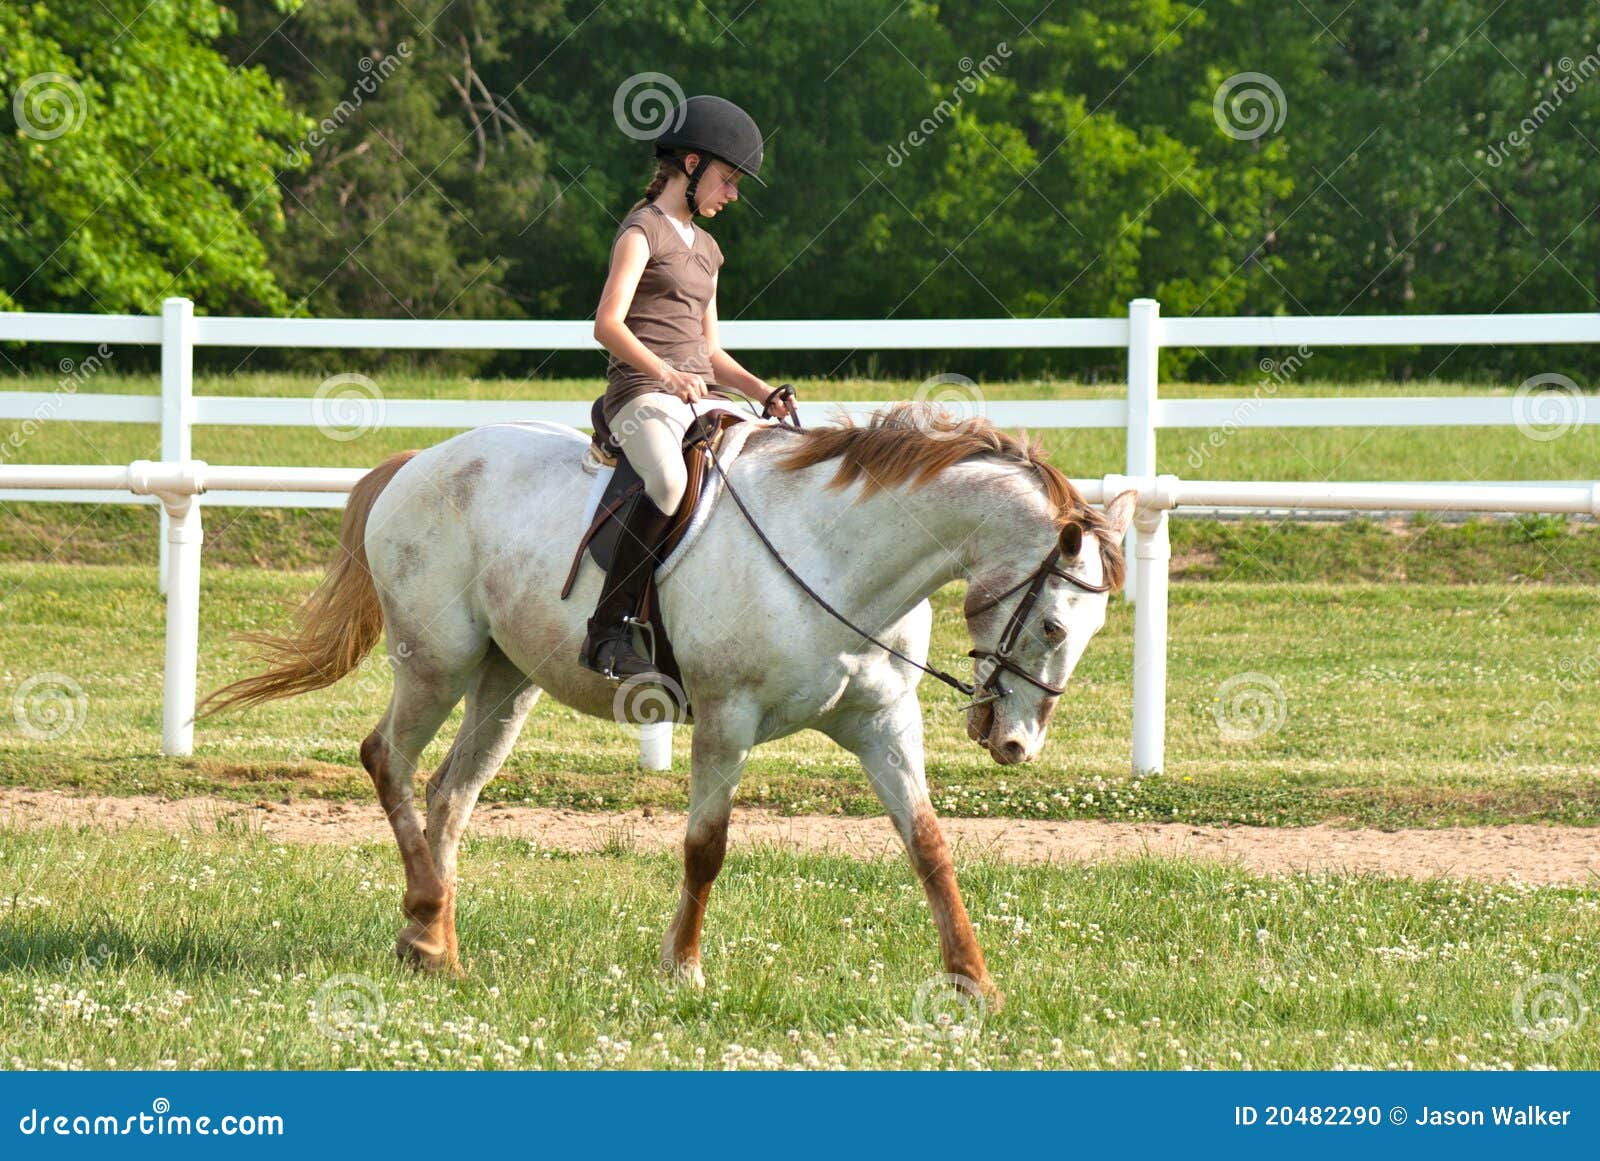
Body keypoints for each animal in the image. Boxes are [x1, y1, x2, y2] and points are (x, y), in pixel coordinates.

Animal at [199, 402, 1136, 1002]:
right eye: (1053, 622)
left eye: (1086, 629)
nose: (1015, 744)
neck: (838, 552)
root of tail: (417, 462)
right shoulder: (727, 719)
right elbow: (705, 848)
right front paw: (682, 969)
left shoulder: (881, 723)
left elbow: (930, 846)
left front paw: (974, 982)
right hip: (437, 664)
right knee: (387, 759)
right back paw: (427, 914)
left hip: (506, 685)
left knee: (450, 792)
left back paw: (432, 943)